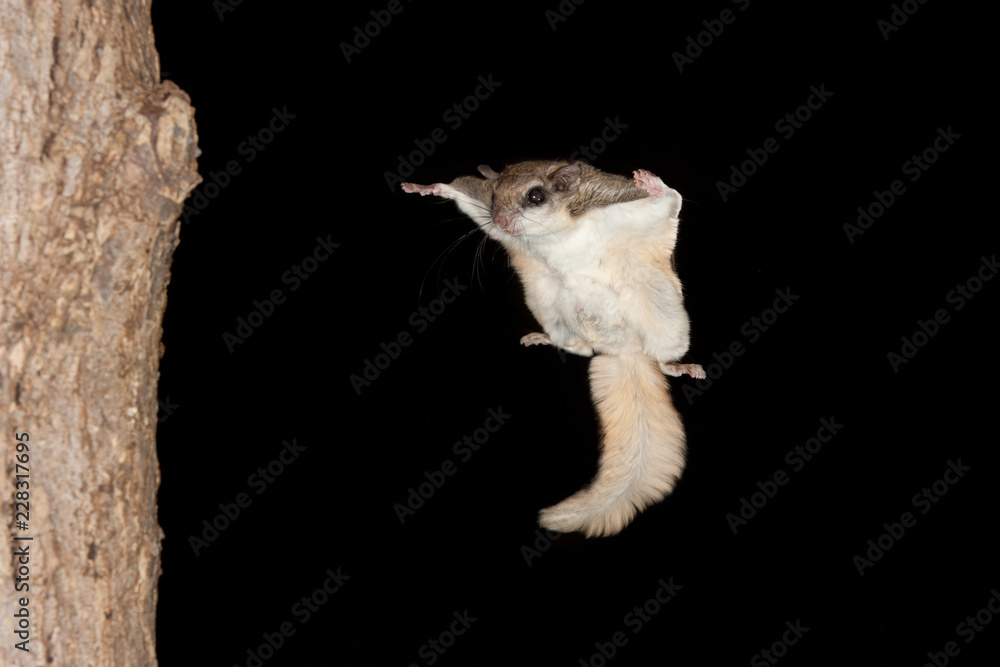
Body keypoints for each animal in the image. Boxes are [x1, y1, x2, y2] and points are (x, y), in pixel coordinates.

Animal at [402, 161, 703, 537]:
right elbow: (464, 193)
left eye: (535, 196)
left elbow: (670, 201)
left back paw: (674, 365)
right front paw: (429, 188)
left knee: (660, 352)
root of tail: (625, 353)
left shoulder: (615, 202)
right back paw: (551, 340)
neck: (554, 230)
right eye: (495, 194)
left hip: (660, 308)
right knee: (580, 349)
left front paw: (654, 184)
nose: (500, 222)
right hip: (548, 301)